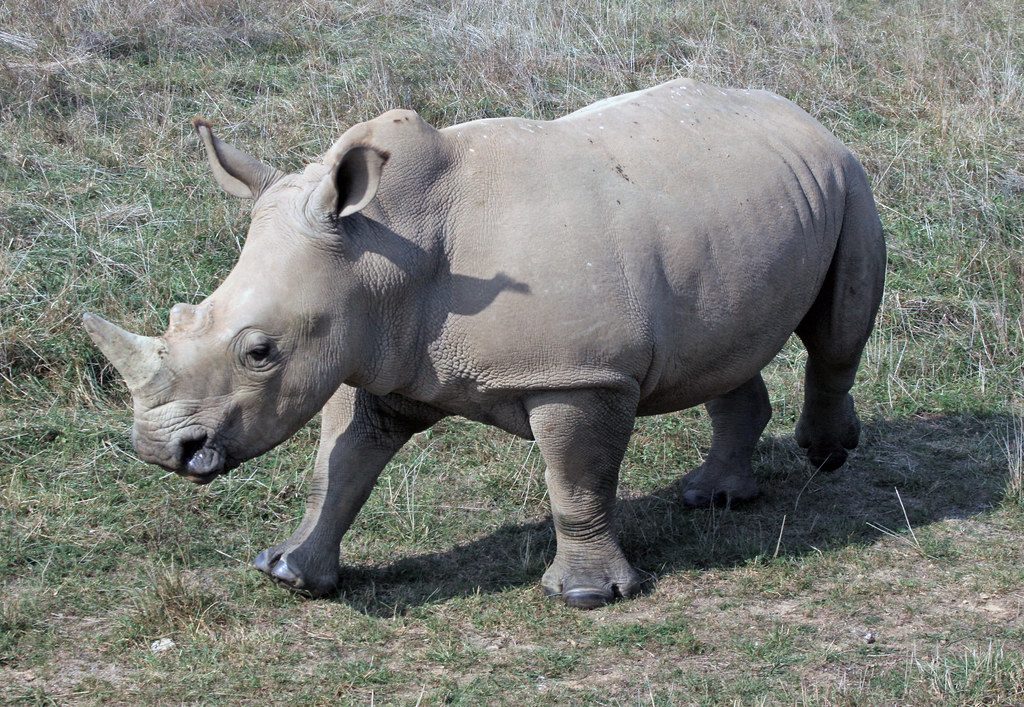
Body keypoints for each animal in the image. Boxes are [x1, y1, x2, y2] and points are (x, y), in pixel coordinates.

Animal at [84, 78, 885, 609]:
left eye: (259, 352)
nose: (161, 450)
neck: (383, 251)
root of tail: (797, 113)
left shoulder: (578, 372)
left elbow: (575, 480)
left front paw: (587, 597)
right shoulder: (378, 352)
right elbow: (340, 464)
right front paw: (288, 571)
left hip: (849, 179)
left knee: (836, 333)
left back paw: (826, 454)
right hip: (741, 210)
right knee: (724, 349)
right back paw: (713, 497)